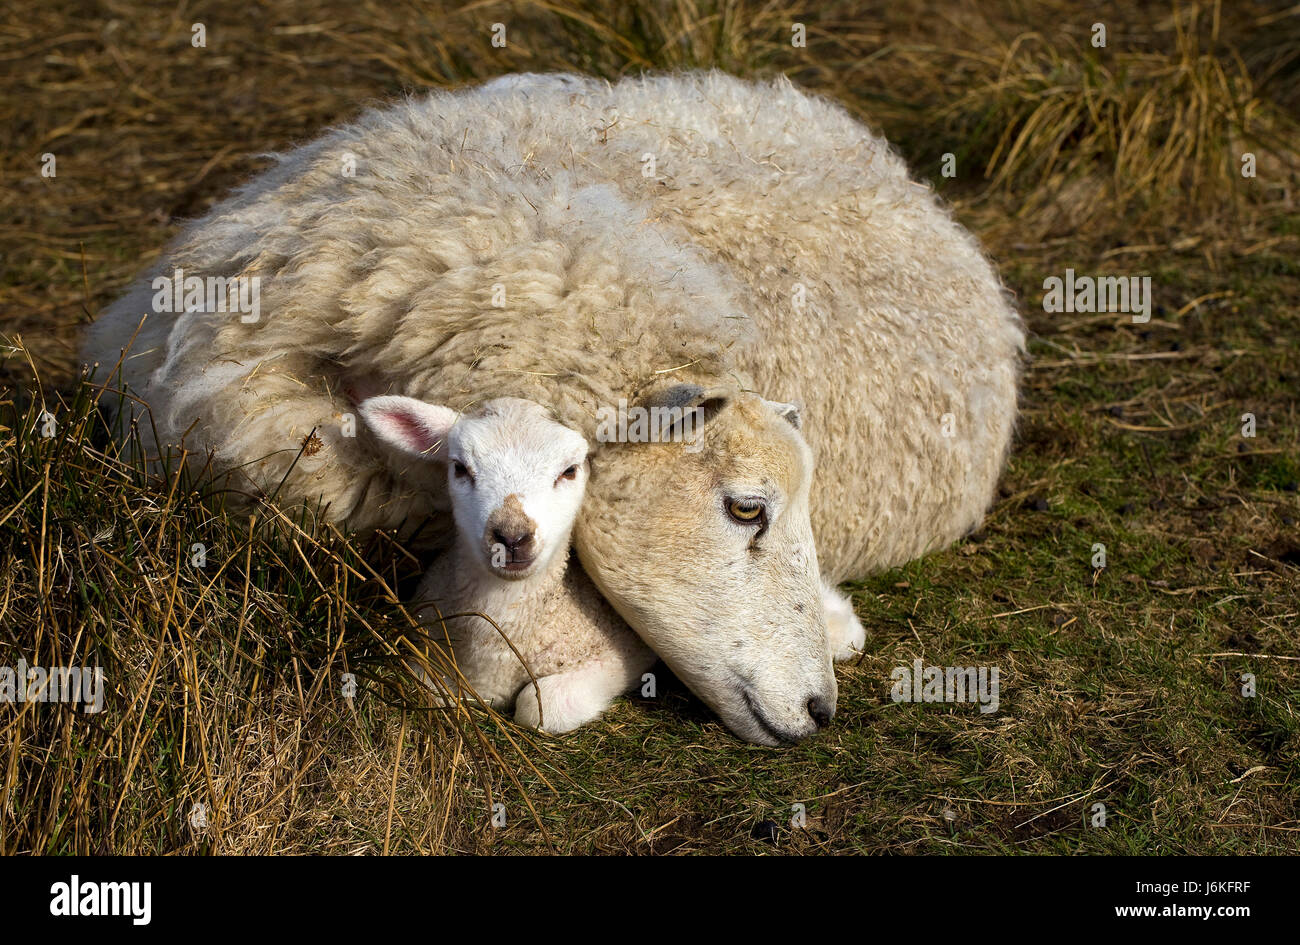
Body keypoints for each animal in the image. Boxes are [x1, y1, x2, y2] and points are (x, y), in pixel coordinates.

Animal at [358, 393, 656, 733]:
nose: (512, 538)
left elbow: (538, 707)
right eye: (460, 467)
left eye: (569, 471)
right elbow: (434, 688)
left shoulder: (624, 654)